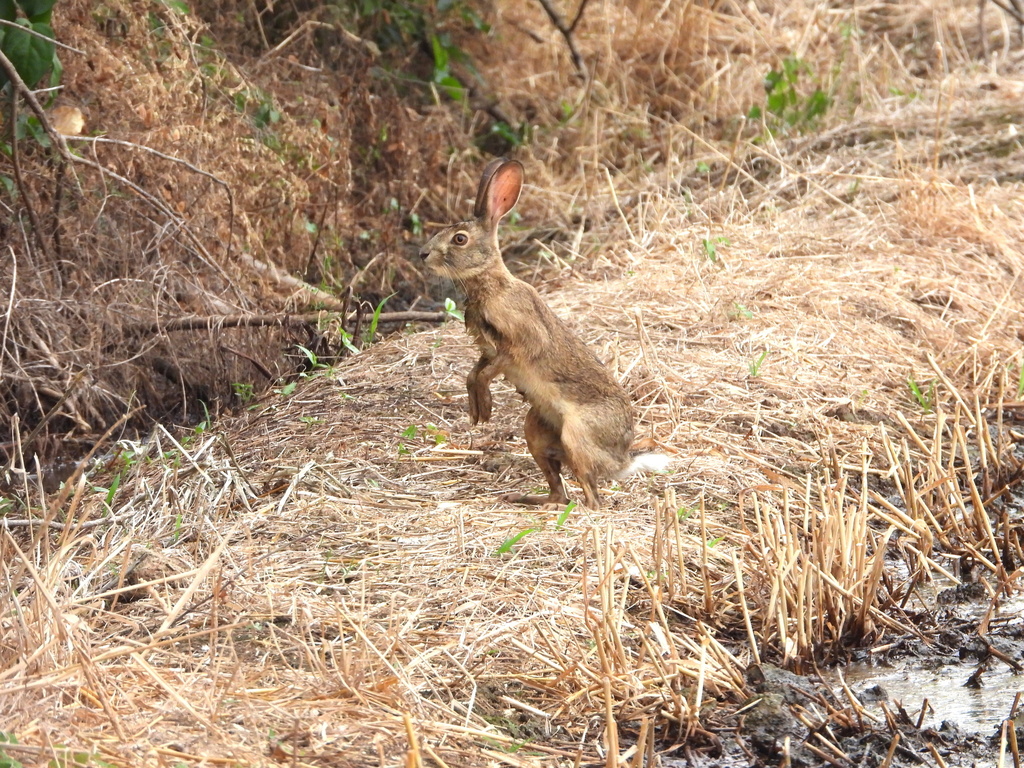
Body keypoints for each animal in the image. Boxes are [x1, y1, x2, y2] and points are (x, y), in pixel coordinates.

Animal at [419, 158, 668, 508]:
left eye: (459, 239)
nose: (423, 254)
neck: (492, 284)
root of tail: (621, 461)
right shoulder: (487, 350)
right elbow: (473, 373)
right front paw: (478, 412)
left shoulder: (517, 344)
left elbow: (488, 372)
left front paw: (485, 406)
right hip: (534, 429)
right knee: (558, 488)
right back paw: (529, 500)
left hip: (577, 435)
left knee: (591, 493)